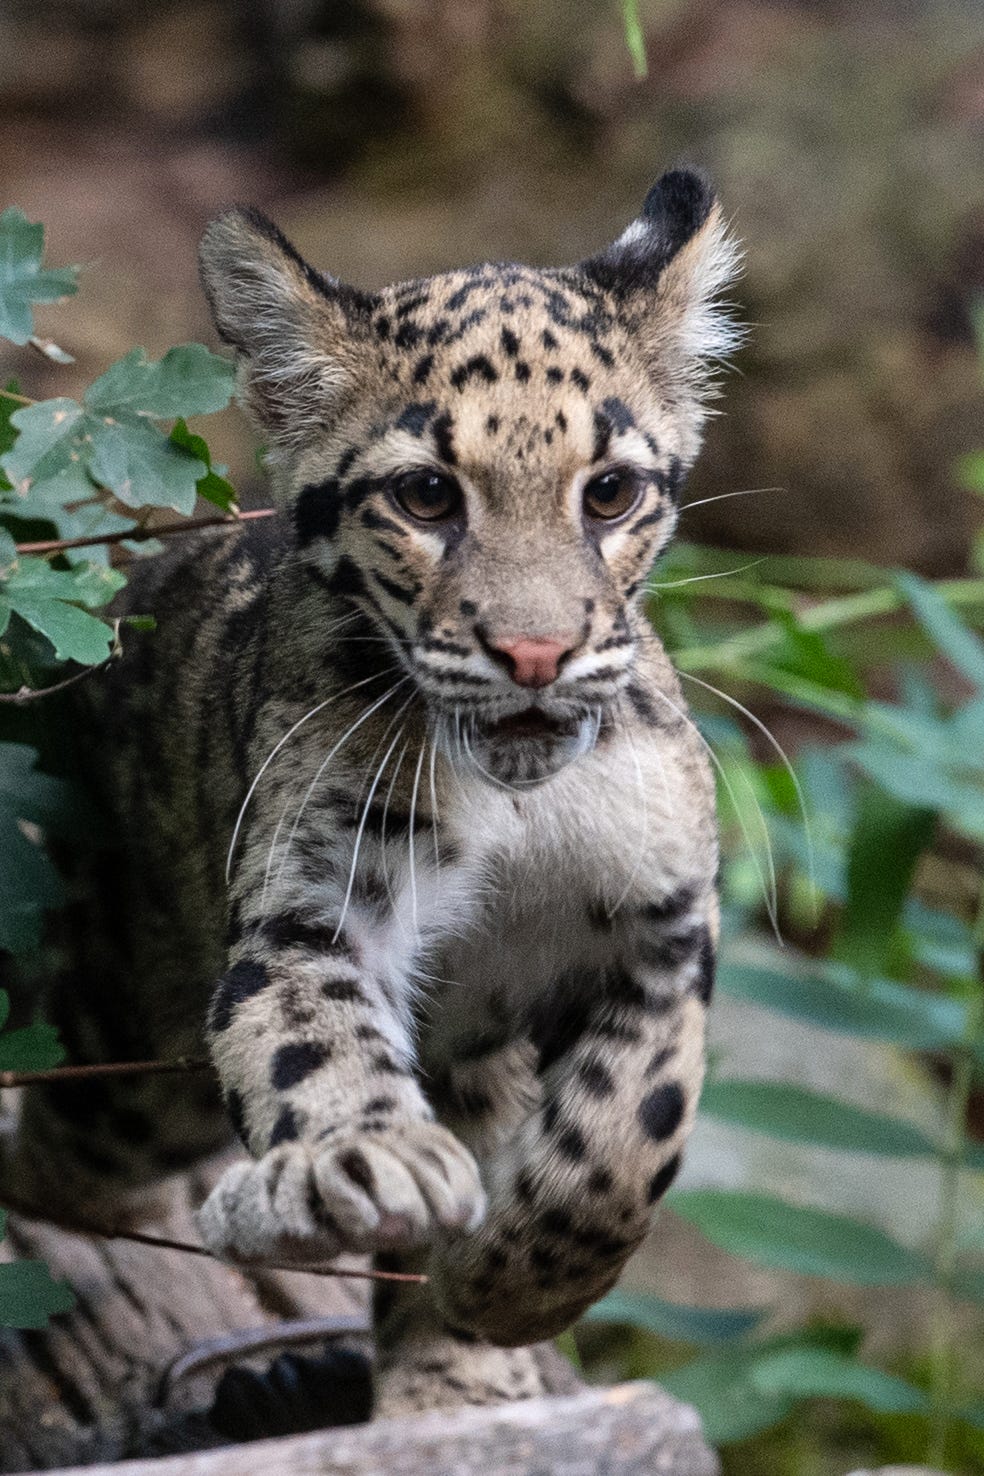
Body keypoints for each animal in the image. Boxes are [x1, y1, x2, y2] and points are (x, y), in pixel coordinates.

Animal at [3, 168, 740, 1420]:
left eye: (610, 493)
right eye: (427, 496)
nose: (535, 655)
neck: (518, 804)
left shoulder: (665, 927)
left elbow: (624, 1142)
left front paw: (503, 1290)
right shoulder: (312, 908)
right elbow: (319, 1045)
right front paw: (374, 1158)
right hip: (123, 1057)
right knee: (66, 1156)